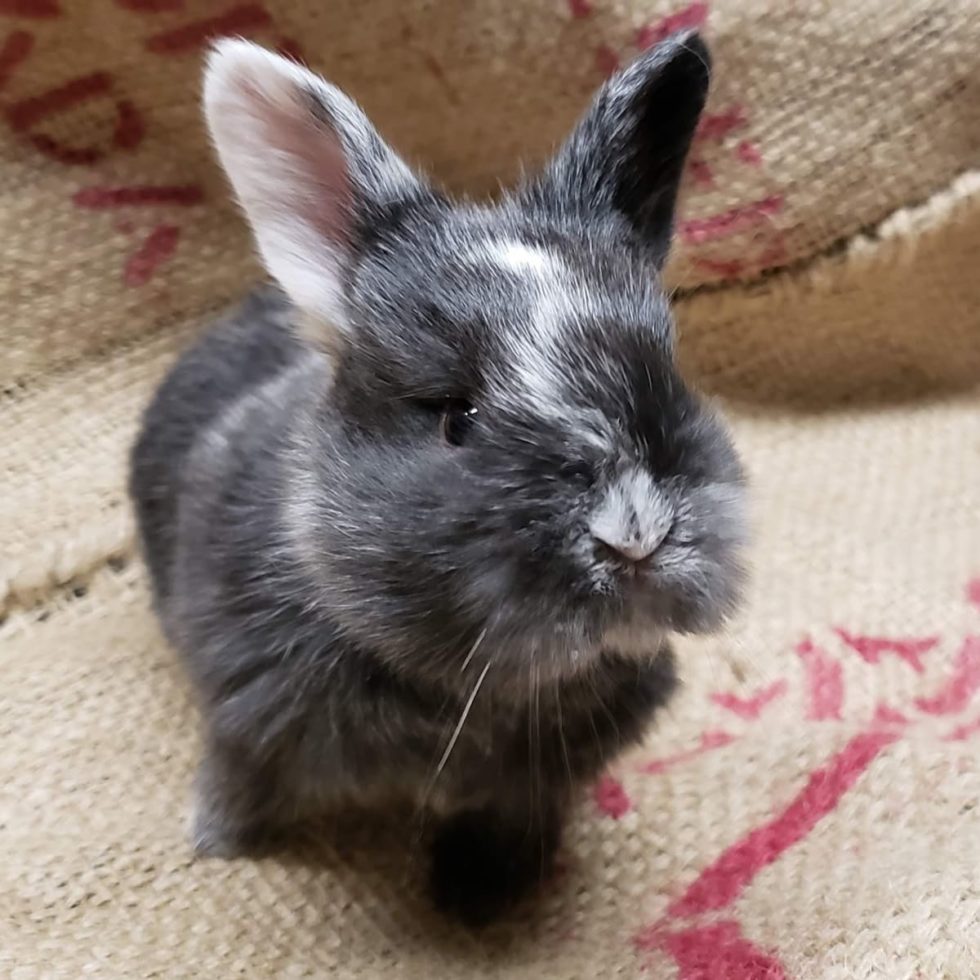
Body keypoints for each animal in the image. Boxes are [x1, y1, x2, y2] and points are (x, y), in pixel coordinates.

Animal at [129, 31, 746, 926]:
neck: (477, 688)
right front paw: (218, 841)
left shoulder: (538, 779)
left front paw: (480, 897)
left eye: (667, 378)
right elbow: (239, 773)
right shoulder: (247, 713)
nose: (634, 533)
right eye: (456, 418)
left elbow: (513, 815)